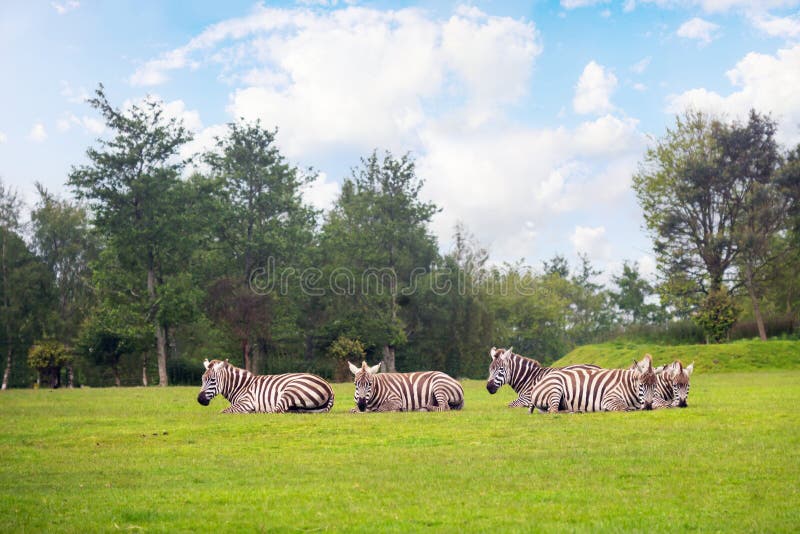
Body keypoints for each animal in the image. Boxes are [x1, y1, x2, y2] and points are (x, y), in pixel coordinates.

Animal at [197, 359, 334, 413]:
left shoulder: (247, 402)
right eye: (202, 379)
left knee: (275, 410)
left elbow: (224, 411)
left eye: (213, 380)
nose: (199, 400)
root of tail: (329, 387)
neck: (241, 387)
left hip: (291, 390)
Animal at [527, 354, 658, 413]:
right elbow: (624, 408)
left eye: (654, 386)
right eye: (641, 385)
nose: (648, 407)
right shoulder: (609, 398)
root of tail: (540, 380)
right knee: (553, 411)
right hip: (555, 388)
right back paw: (575, 411)